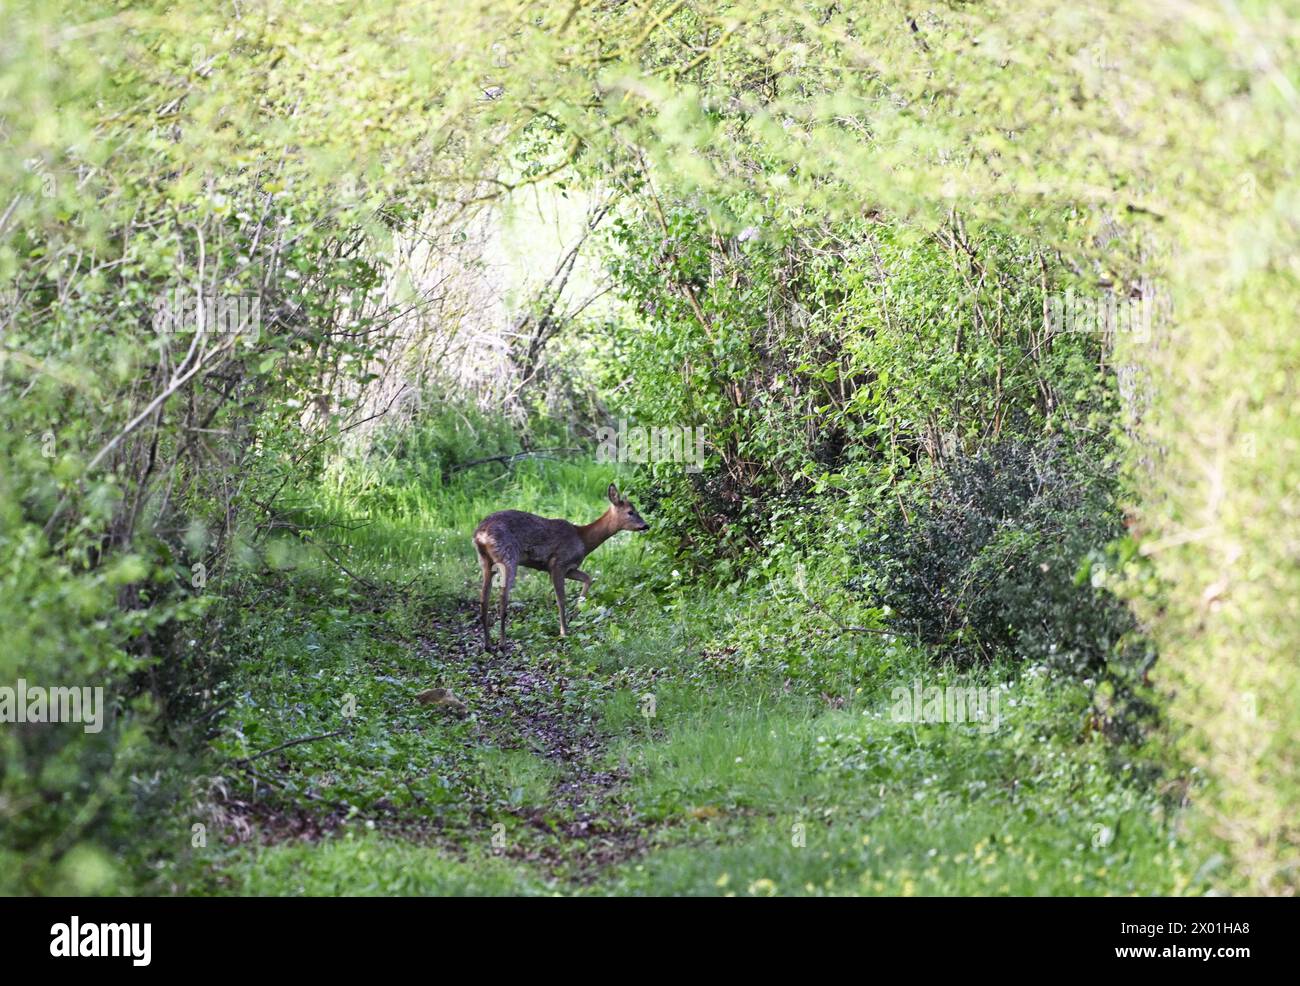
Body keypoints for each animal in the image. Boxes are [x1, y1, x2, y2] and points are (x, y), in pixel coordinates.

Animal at [473, 484, 649, 650]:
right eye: (631, 512)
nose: (646, 525)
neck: (583, 540)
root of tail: (480, 535)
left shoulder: (569, 568)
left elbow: (588, 578)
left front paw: (576, 613)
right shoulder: (558, 564)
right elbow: (561, 600)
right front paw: (564, 632)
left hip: (485, 561)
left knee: (483, 599)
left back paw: (488, 645)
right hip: (508, 556)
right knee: (502, 597)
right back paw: (502, 643)